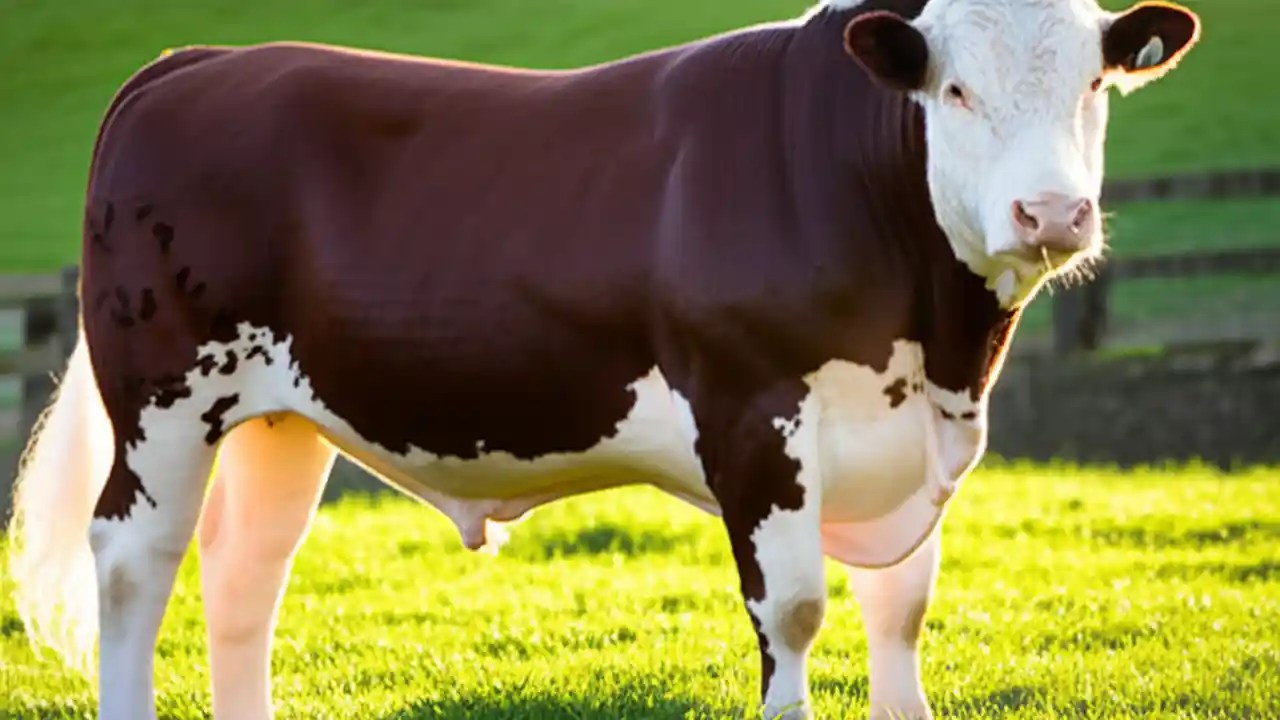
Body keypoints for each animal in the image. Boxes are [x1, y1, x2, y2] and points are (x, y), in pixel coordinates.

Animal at [7, 0, 1199, 717]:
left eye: (1093, 85)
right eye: (953, 90)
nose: (1051, 213)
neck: (939, 340)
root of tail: (198, 61)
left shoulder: (908, 443)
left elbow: (899, 611)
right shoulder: (754, 411)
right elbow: (795, 609)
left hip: (276, 416)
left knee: (245, 569)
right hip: (163, 395)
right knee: (136, 558)